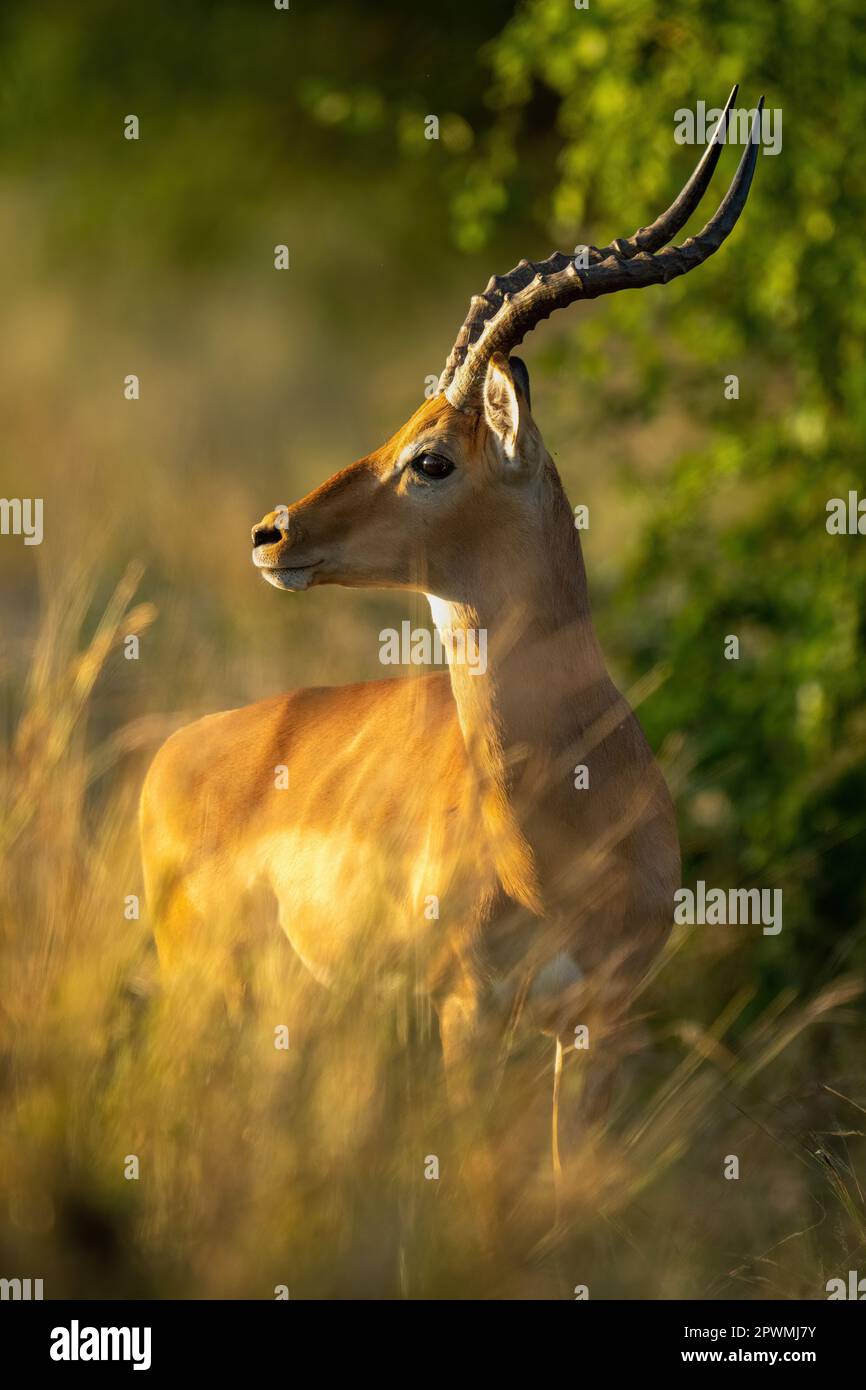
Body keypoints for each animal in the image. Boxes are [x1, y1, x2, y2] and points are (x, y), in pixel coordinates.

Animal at [141, 92, 762, 1215]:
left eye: (431, 457)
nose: (272, 533)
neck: (561, 825)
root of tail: (175, 750)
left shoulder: (599, 1022)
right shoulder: (469, 1010)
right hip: (199, 982)